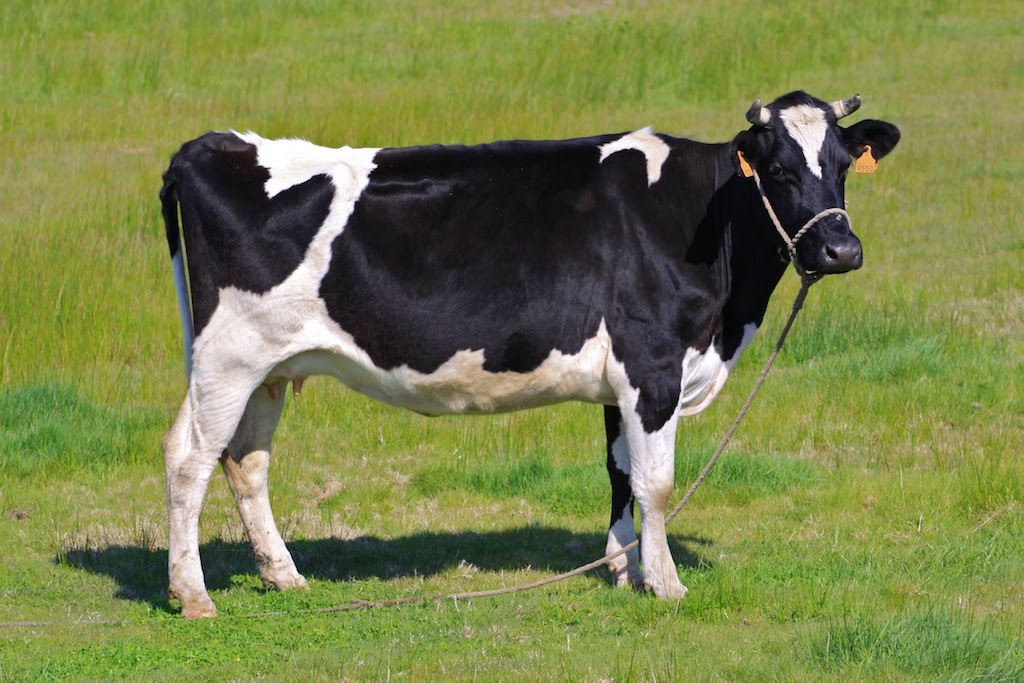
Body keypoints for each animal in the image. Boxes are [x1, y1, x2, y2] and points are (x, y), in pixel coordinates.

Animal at [160, 91, 899, 617]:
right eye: (777, 170)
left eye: (841, 168)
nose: (841, 249)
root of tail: (213, 145)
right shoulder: (653, 363)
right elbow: (657, 483)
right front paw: (665, 583)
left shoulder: (620, 380)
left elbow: (620, 472)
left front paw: (621, 568)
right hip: (228, 356)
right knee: (189, 456)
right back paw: (194, 596)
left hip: (270, 368)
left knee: (246, 460)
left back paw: (284, 576)